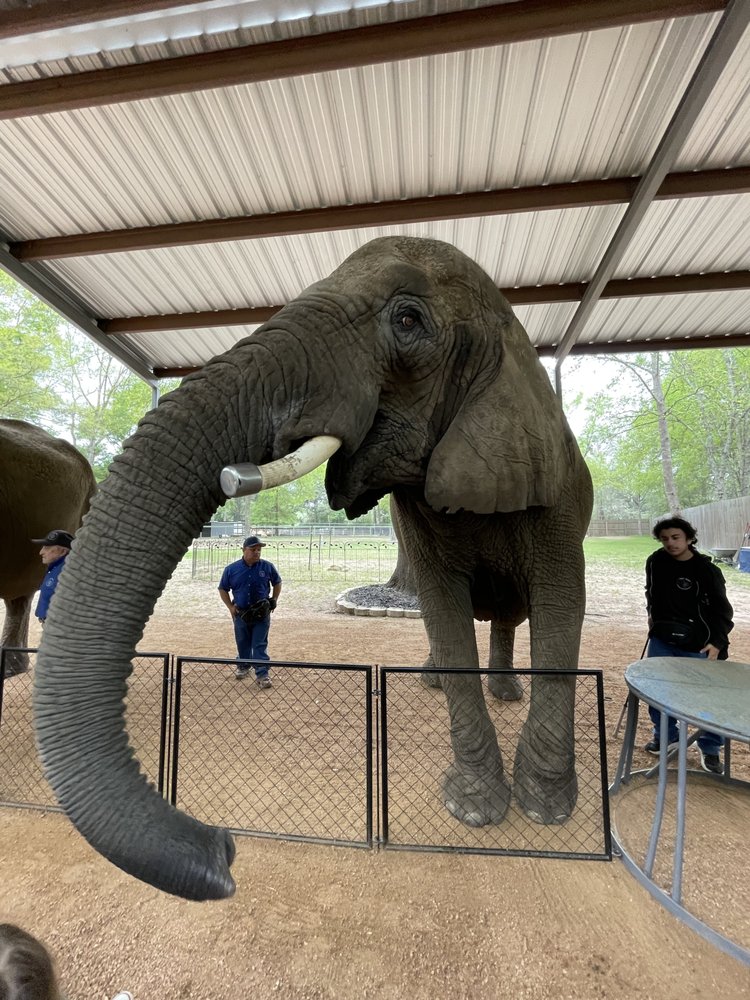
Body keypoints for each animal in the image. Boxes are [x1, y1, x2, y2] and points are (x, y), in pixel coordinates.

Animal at [33, 236, 592, 901]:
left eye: (408, 321)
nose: (224, 847)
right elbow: (444, 608)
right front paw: (478, 807)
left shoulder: (558, 495)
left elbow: (561, 608)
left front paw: (544, 811)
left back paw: (508, 694)